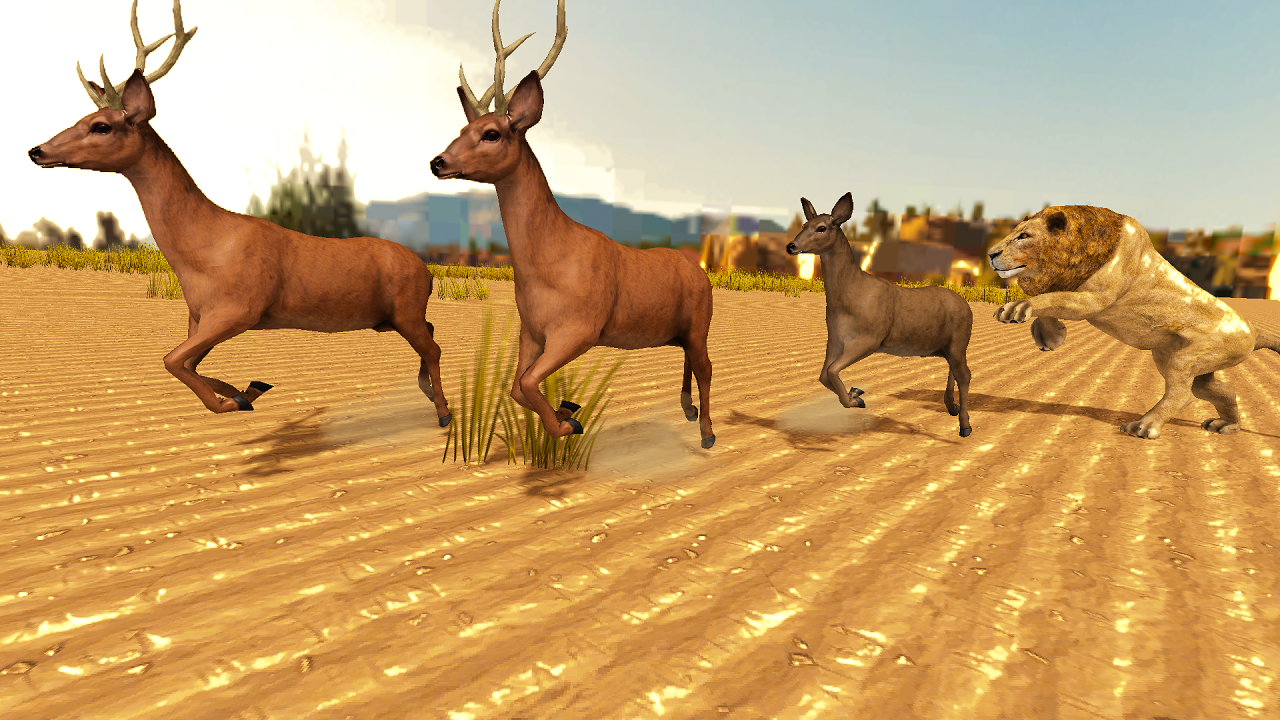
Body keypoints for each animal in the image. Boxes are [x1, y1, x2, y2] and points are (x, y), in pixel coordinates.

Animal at [987, 205, 1280, 439]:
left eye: (1024, 236)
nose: (991, 254)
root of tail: (1254, 330)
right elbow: (1052, 302)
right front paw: (1050, 336)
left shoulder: (1095, 300)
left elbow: (1049, 298)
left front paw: (1015, 308)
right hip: (1179, 361)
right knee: (1222, 390)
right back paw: (1226, 426)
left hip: (1186, 359)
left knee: (1182, 395)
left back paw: (1143, 426)